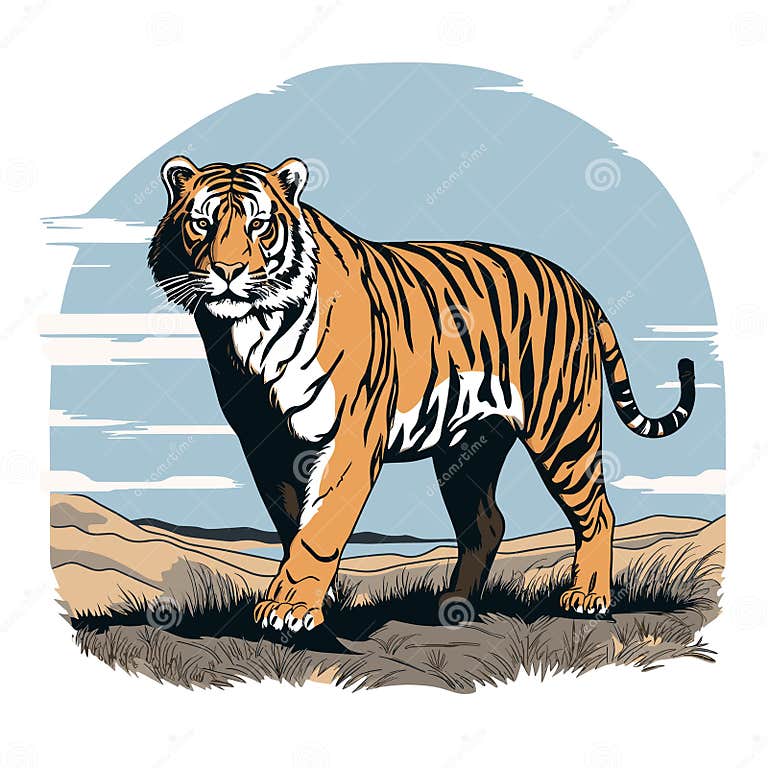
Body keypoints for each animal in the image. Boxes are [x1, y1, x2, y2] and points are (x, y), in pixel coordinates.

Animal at [148, 155, 695, 633]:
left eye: (259, 225)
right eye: (202, 223)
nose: (228, 271)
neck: (251, 334)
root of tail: (578, 286)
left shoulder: (348, 437)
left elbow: (319, 525)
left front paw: (292, 609)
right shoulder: (264, 442)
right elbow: (290, 524)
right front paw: (313, 596)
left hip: (563, 430)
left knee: (597, 513)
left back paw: (588, 598)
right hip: (468, 447)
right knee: (486, 522)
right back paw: (454, 605)